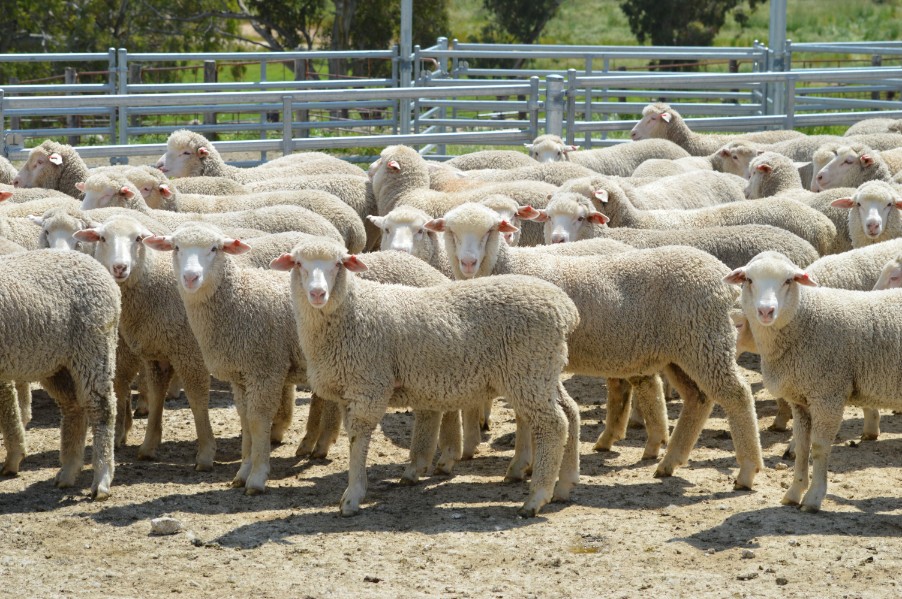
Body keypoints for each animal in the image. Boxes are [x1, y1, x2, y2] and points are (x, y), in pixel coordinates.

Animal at [0, 250, 120, 500]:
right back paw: (68, 471)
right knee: (73, 407)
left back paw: (101, 480)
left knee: (101, 408)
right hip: (56, 363)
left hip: (94, 346)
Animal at [72, 215, 217, 471]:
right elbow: (156, 395)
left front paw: (206, 453)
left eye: (138, 238)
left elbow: (197, 398)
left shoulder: (189, 352)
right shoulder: (155, 353)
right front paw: (149, 445)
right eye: (102, 238)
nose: (120, 267)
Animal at [272, 235, 581, 518]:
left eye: (338, 264)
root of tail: (565, 308)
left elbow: (358, 439)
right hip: (541, 371)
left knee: (553, 425)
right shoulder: (351, 391)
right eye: (298, 264)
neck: (351, 312)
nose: (317, 293)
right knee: (570, 411)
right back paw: (563, 484)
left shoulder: (369, 386)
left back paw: (537, 497)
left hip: (528, 370)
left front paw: (353, 496)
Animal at [429, 202, 764, 487]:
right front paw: (524, 465)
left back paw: (747, 469)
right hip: (683, 350)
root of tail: (721, 275)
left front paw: (523, 466)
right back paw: (670, 462)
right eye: (450, 231)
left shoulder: (526, 356)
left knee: (737, 394)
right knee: (698, 398)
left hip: (705, 340)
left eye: (491, 230)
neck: (508, 266)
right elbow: (526, 415)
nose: (468, 263)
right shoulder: (521, 359)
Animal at [726, 251, 902, 512]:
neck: (805, 320)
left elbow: (819, 447)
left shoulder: (828, 393)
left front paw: (813, 498)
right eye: (748, 280)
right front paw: (794, 492)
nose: (766, 311)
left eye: (788, 280)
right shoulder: (800, 400)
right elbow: (802, 446)